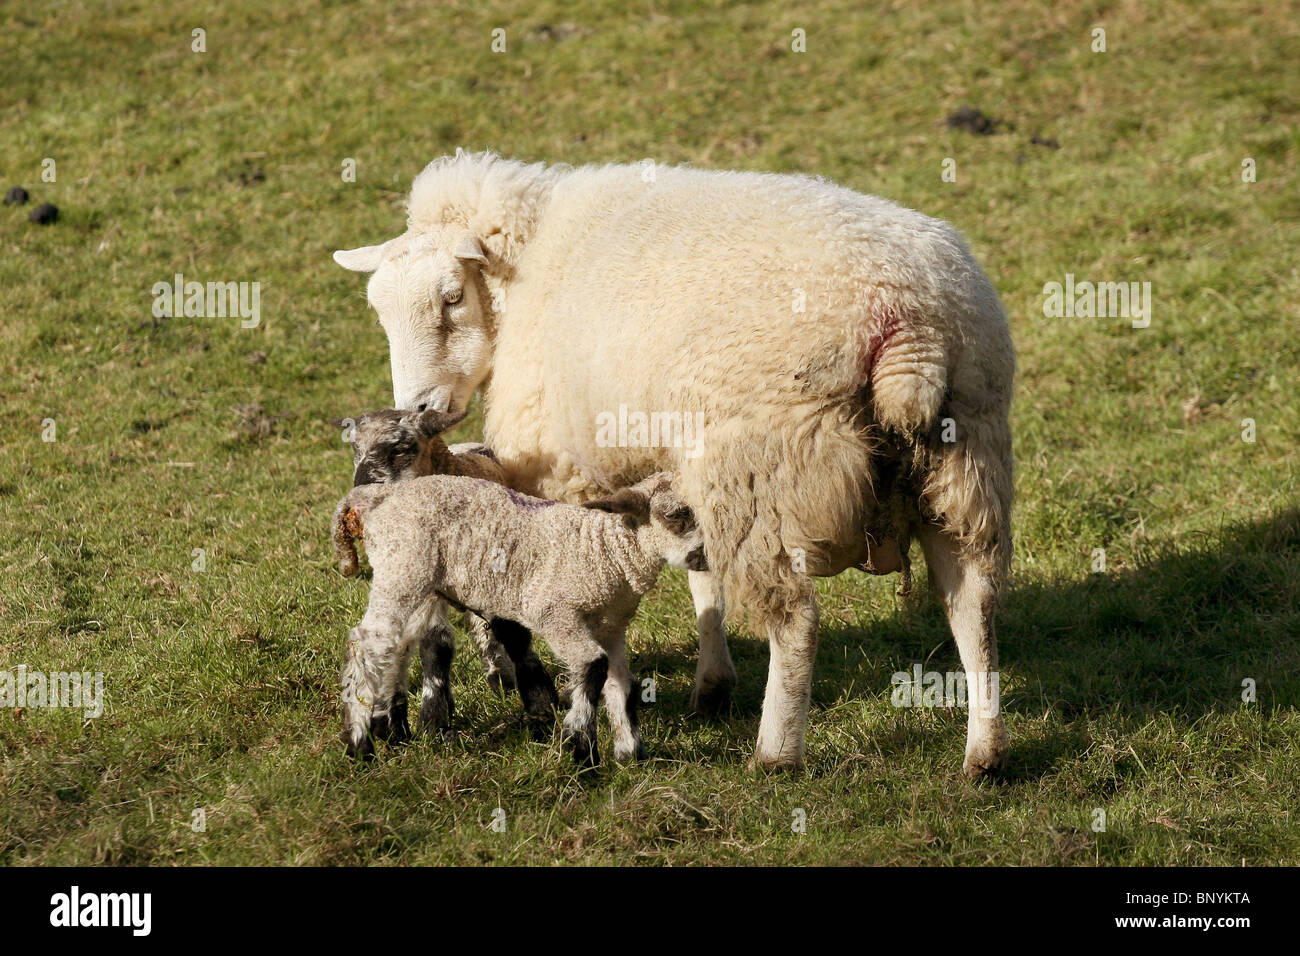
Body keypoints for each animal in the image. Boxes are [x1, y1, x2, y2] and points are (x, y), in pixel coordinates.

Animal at [333, 471, 707, 764]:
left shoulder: (612, 627)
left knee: (398, 644)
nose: (705, 557)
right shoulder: (556, 613)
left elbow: (622, 686)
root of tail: (378, 497)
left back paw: (391, 728)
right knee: (370, 643)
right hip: (403, 566)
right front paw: (581, 751)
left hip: (419, 579)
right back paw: (359, 745)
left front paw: (632, 754)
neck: (603, 549)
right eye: (675, 514)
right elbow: (593, 667)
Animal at [339, 406, 558, 740]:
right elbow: (434, 642)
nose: (361, 494)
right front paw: (432, 721)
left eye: (402, 448)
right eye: (354, 449)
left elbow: (512, 631)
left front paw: (541, 705)